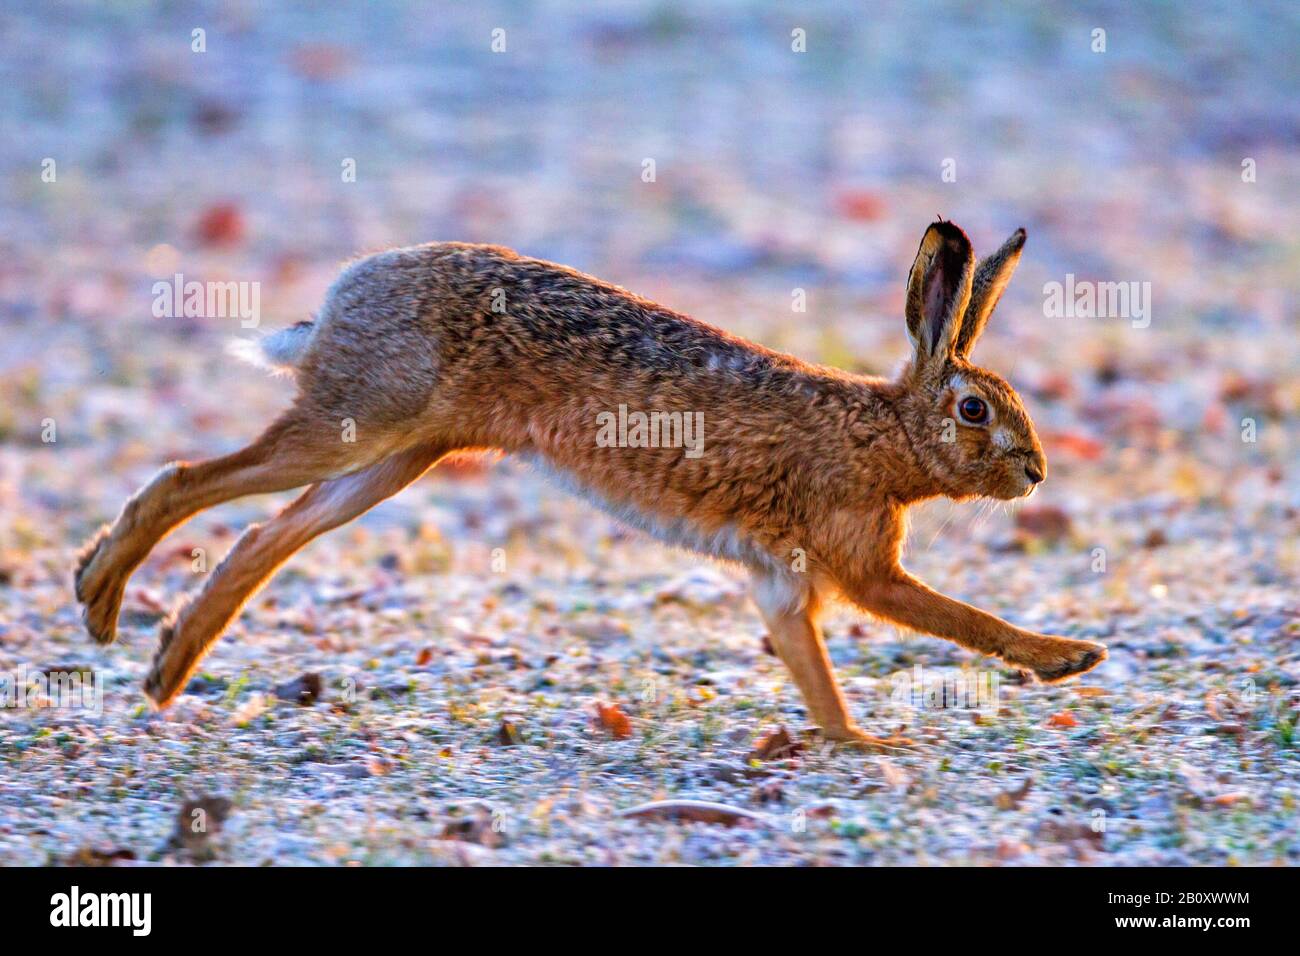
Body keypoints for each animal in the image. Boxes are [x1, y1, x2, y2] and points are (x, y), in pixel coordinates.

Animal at [74, 219, 1106, 744]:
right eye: (973, 409)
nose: (1035, 471)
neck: (882, 433)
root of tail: (342, 294)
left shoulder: (781, 579)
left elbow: (807, 665)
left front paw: (852, 741)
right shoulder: (861, 564)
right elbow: (957, 617)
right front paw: (1067, 658)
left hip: (399, 456)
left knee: (265, 532)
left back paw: (164, 668)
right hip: (361, 420)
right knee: (191, 478)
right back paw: (99, 598)